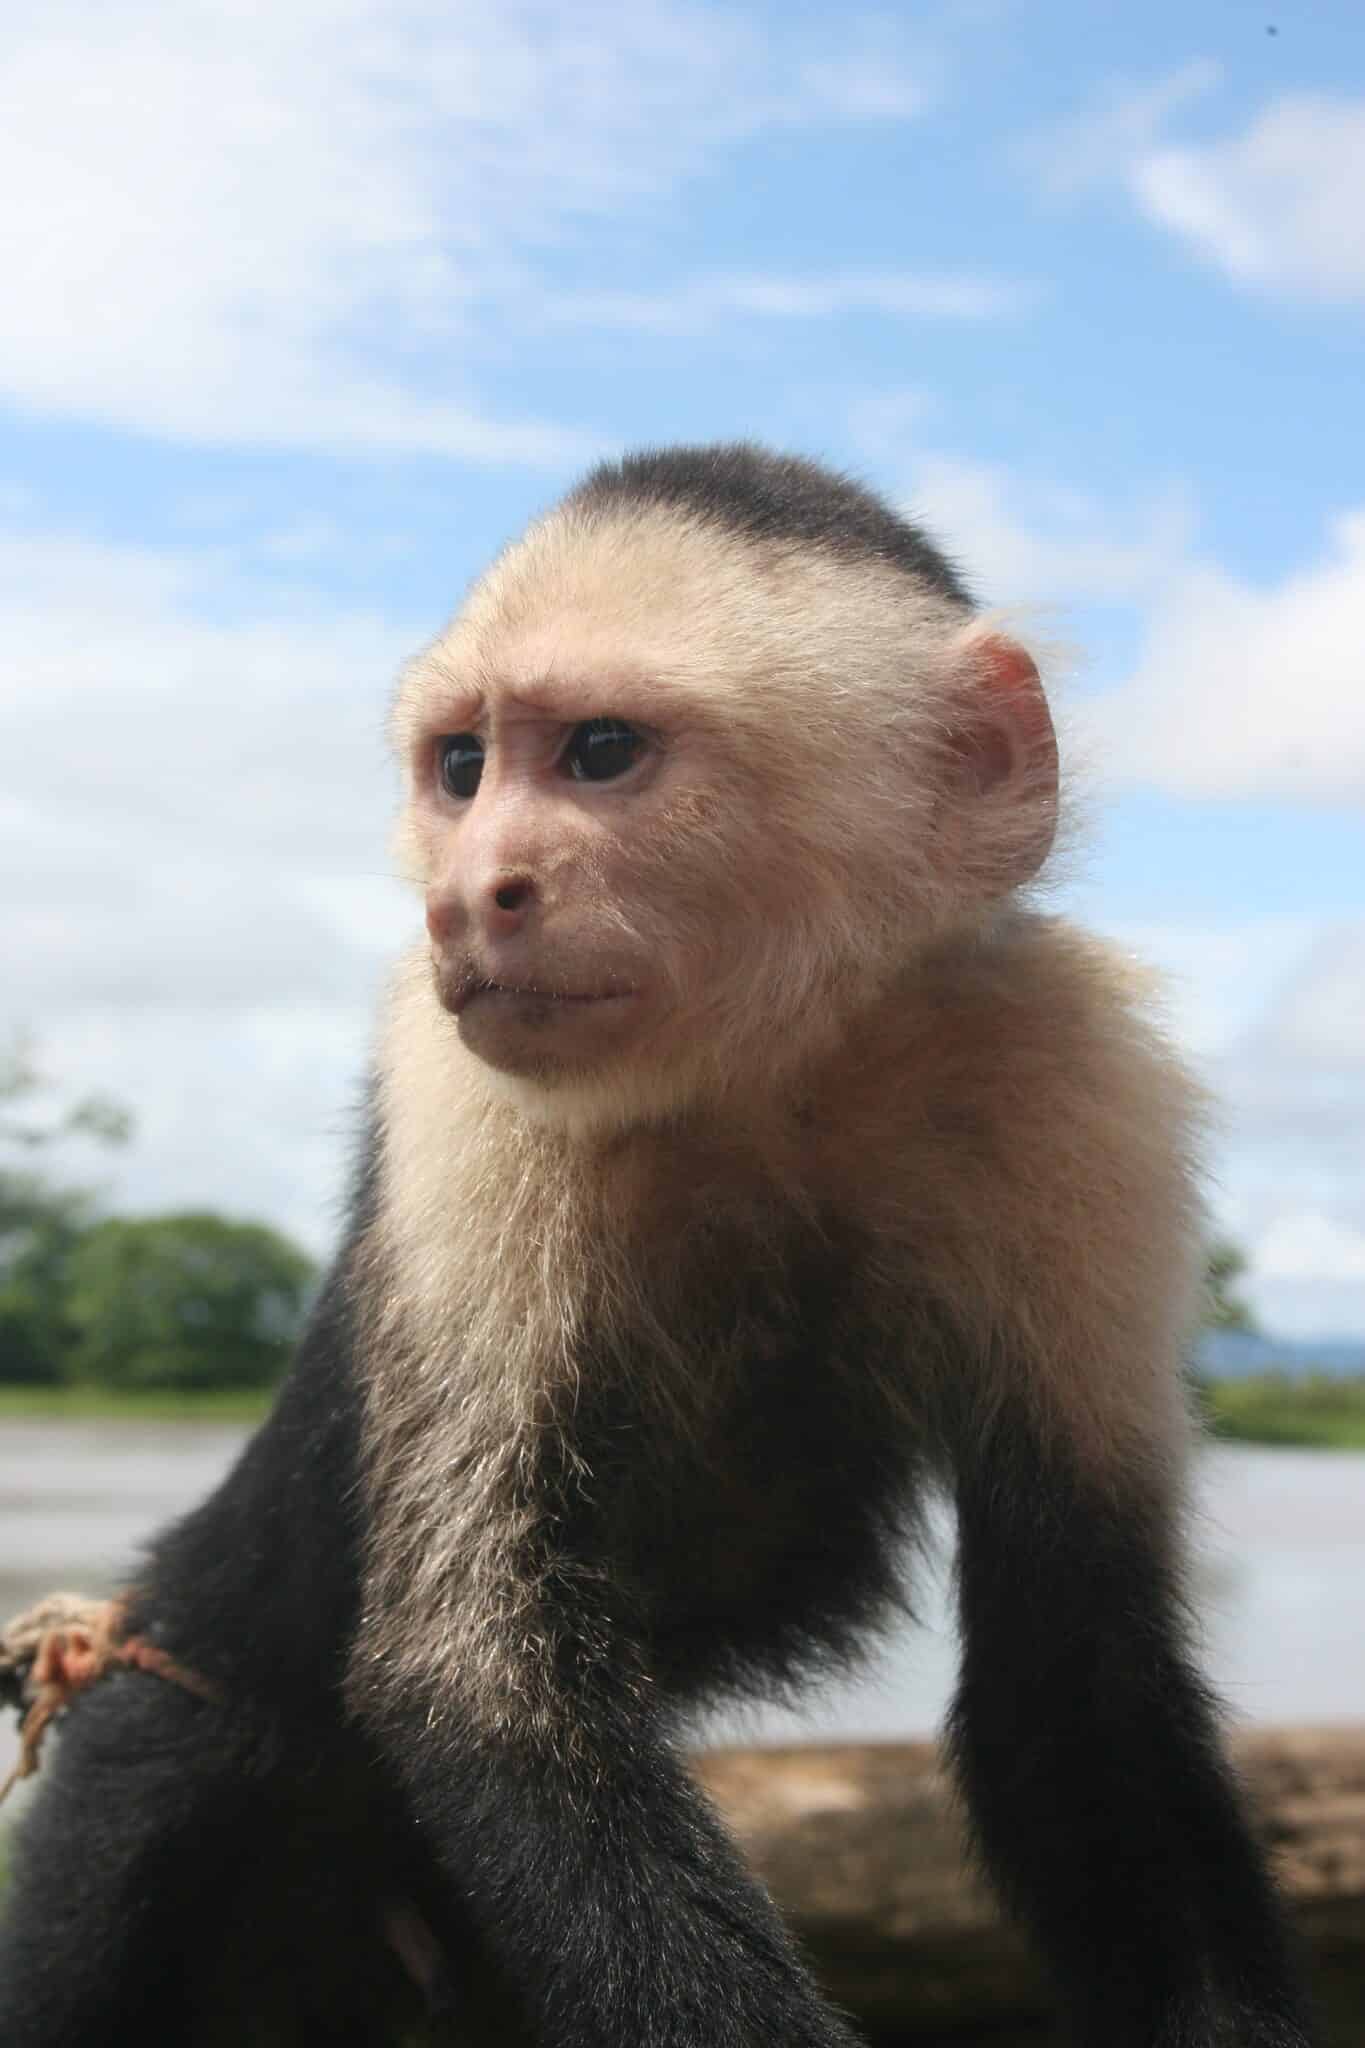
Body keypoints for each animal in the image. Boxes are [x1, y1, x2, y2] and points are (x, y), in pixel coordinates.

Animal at [0, 442, 1316, 2047]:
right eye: (462, 769)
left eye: (602, 751)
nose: (469, 891)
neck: (771, 1074)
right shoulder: (459, 1091)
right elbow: (482, 1674)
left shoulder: (1076, 1076)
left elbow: (1078, 1678)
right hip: (172, 1716)